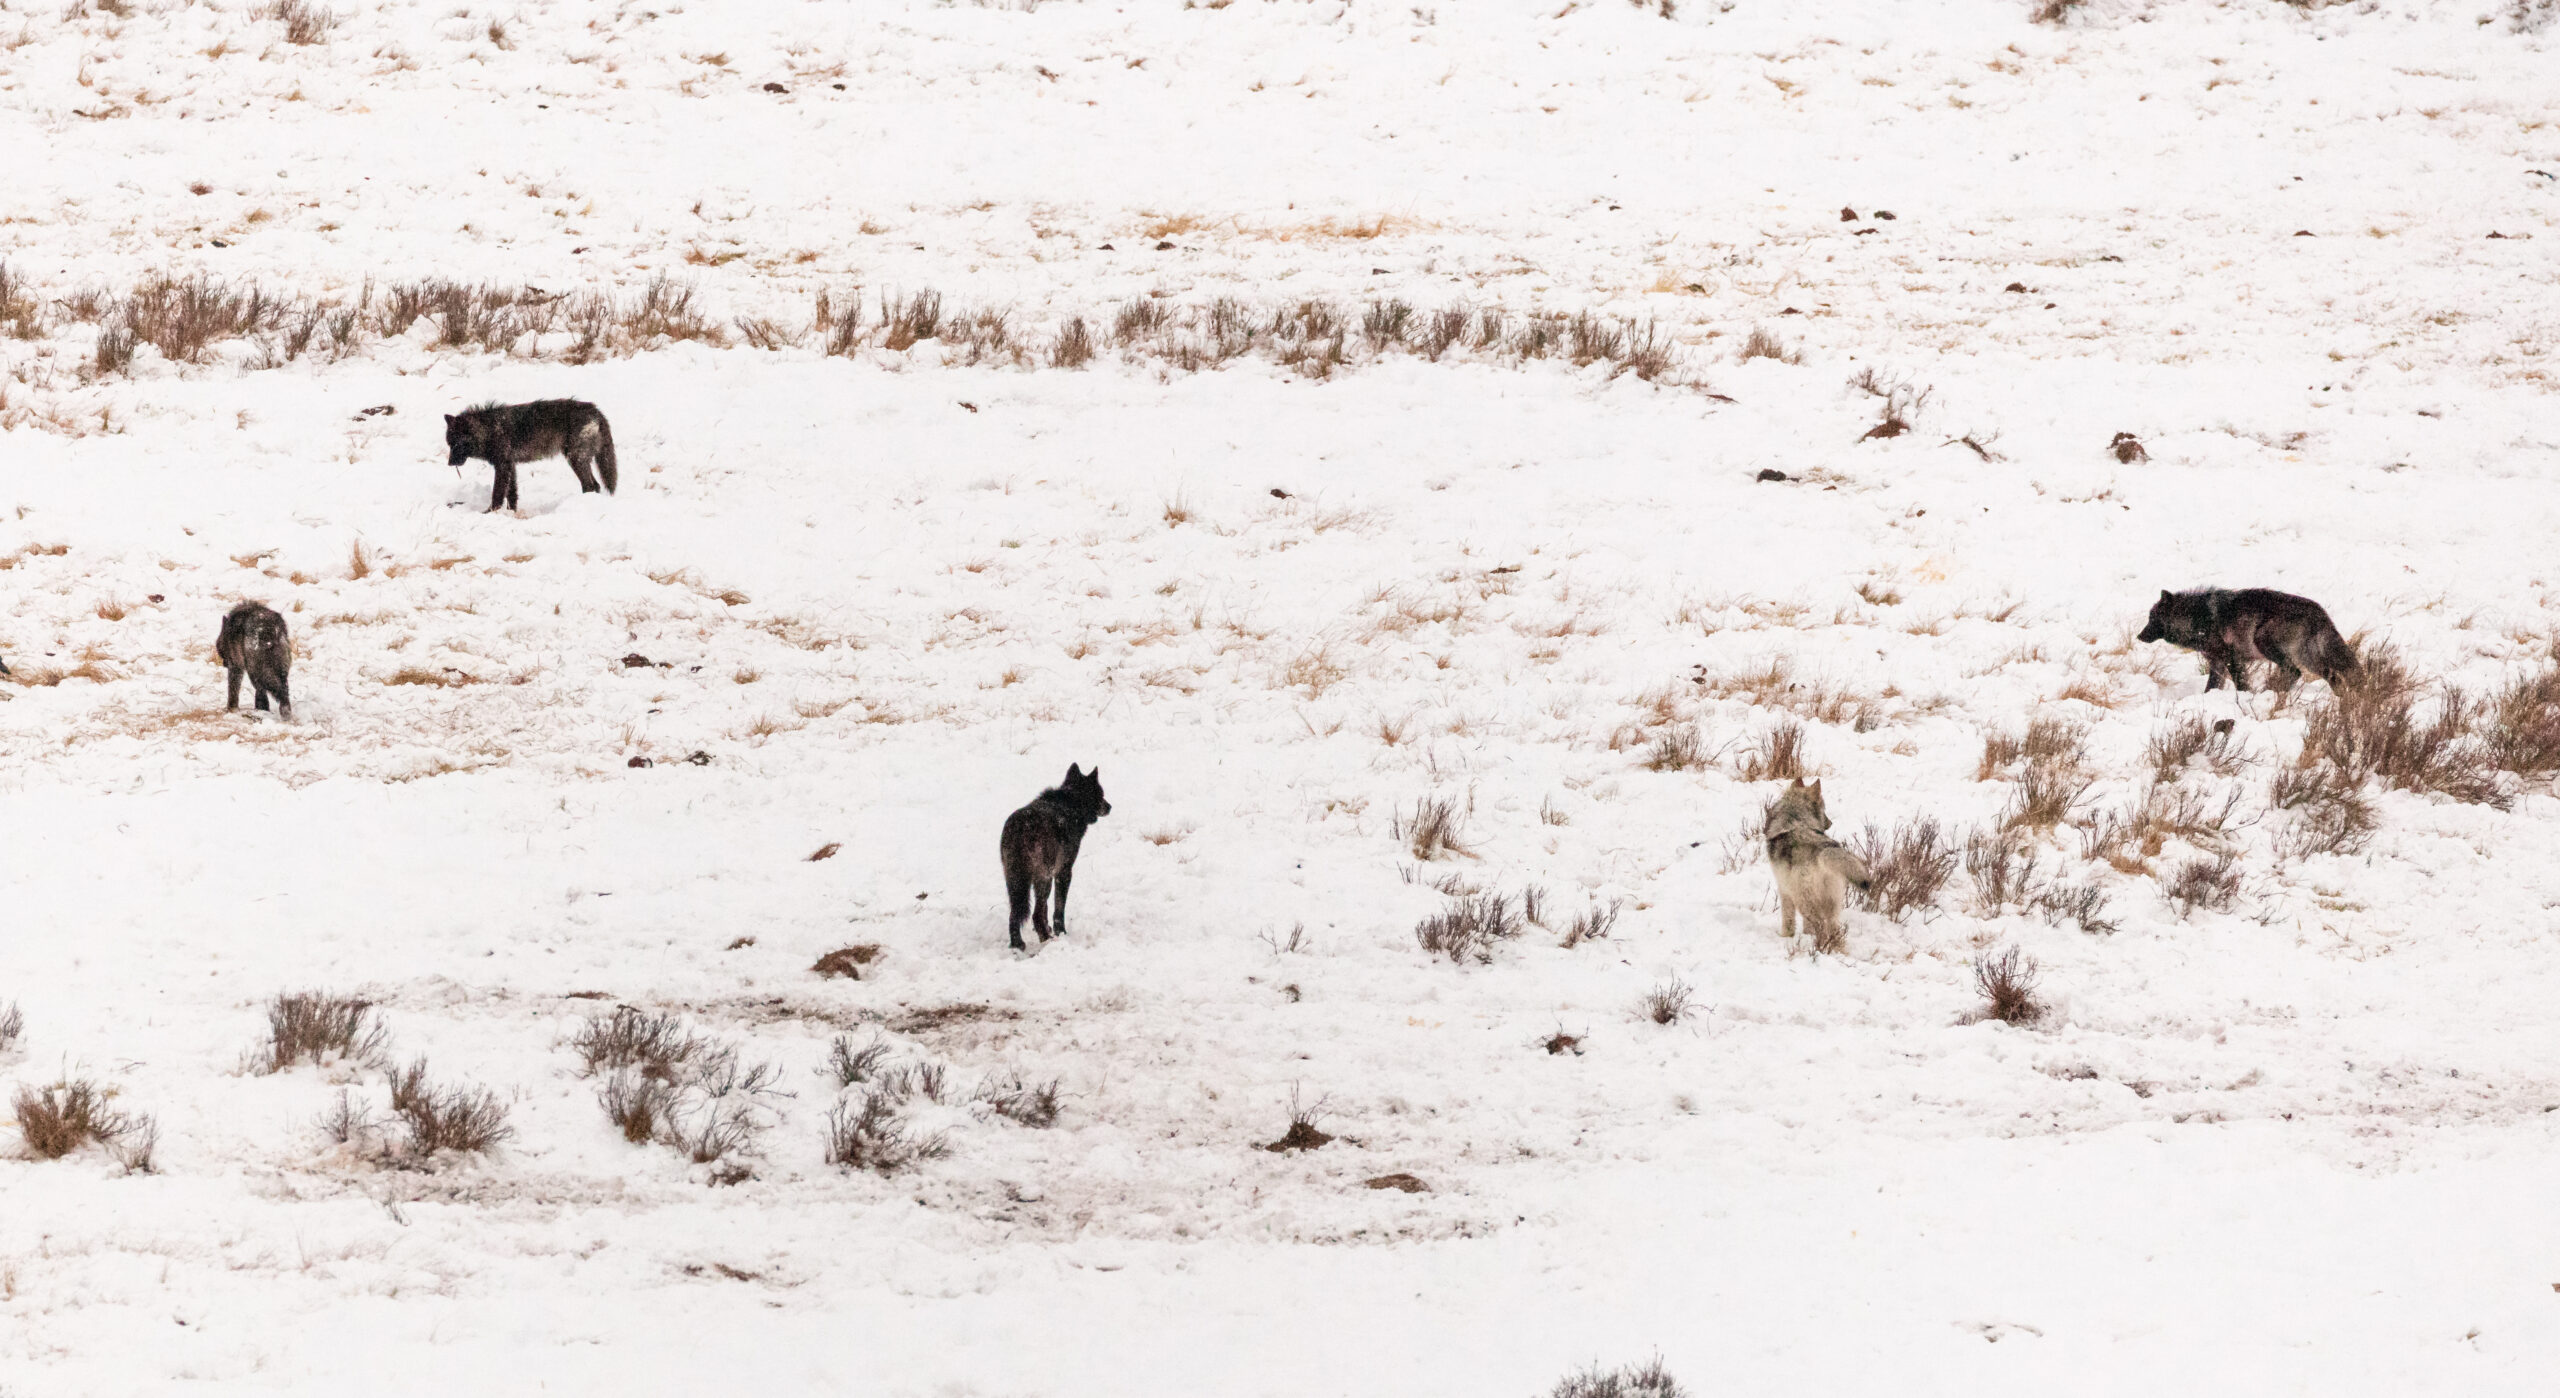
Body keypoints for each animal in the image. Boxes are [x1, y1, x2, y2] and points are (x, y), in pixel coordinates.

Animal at [443, 399, 618, 512]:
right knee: (595, 485)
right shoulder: (510, 465)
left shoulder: (502, 466)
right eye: (449, 444)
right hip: (579, 460)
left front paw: (490, 512)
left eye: (456, 444)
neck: (489, 430)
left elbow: (497, 494)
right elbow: (511, 494)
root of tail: (595, 410)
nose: (449, 464)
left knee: (590, 485)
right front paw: (511, 513)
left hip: (575, 459)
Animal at [1000, 764, 1111, 952]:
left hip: (1014, 882)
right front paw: (1061, 932)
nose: (1110, 807)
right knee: (1035, 914)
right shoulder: (1063, 872)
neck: (1072, 802)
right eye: (1100, 793)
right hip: (1043, 880)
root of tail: (1020, 826)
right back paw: (1046, 940)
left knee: (1015, 913)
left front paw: (1048, 929)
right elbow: (1058, 909)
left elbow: (1045, 909)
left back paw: (1017, 945)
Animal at [1764, 778, 1870, 954]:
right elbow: (1807, 927)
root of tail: (1823, 850)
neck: (1795, 820)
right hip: (1832, 906)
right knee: (1834, 930)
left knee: (1821, 925)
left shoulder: (1784, 890)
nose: (1830, 822)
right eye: (1824, 809)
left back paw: (1820, 948)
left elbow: (1788, 919)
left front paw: (1785, 937)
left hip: (1804, 902)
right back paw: (1838, 951)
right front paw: (1807, 934)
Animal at [2136, 588, 2357, 693]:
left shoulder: (2230, 659)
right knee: (2332, 676)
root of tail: (2318, 611)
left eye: (2152, 618)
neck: (2196, 618)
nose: (2139, 636)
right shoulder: (2217, 663)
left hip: (2266, 642)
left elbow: (2241, 684)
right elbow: (2210, 688)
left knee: (2294, 672)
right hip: (2309, 658)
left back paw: (2272, 693)